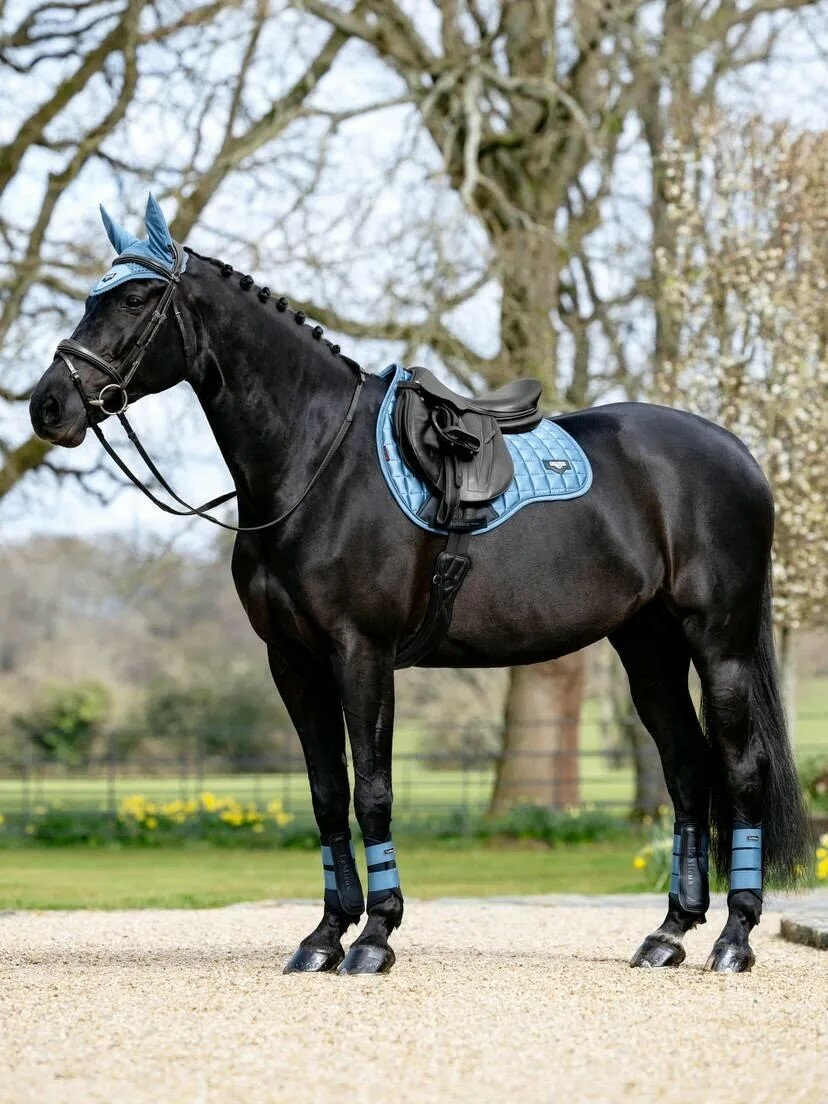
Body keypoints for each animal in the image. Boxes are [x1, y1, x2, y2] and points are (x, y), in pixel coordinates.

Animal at [29, 197, 809, 974]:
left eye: (134, 298)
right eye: (92, 297)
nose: (48, 406)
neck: (316, 464)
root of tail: (737, 452)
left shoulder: (362, 654)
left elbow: (372, 792)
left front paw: (374, 937)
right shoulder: (294, 663)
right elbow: (326, 794)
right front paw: (323, 937)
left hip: (720, 645)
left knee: (739, 771)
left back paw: (734, 940)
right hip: (648, 650)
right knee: (687, 769)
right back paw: (669, 933)